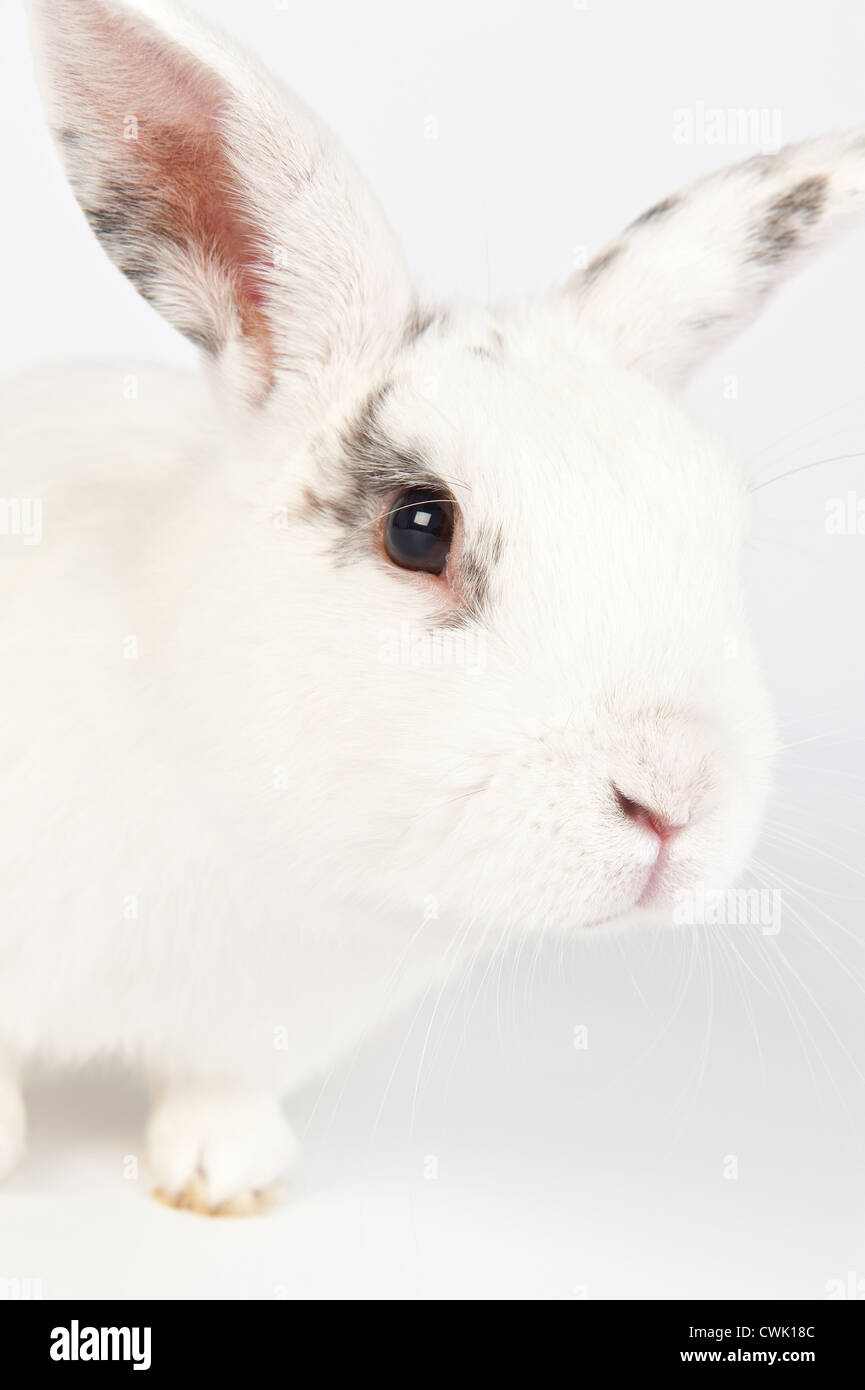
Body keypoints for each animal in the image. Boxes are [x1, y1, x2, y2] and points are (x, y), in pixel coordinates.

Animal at [0, 0, 862, 1215]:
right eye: (418, 528)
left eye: (721, 518)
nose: (675, 801)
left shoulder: (253, 1031)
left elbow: (216, 1094)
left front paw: (227, 1181)